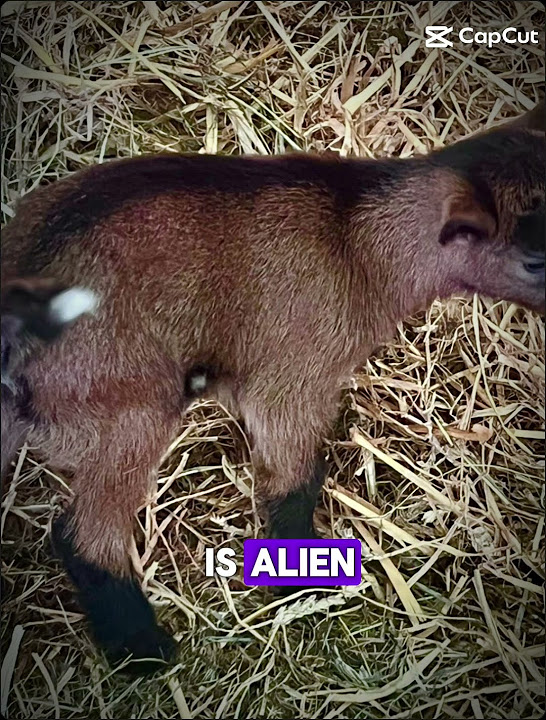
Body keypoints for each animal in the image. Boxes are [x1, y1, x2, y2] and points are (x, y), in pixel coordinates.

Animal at [1, 103, 544, 674]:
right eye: (533, 259)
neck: (358, 243)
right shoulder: (293, 377)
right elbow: (295, 479)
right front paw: (304, 579)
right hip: (129, 405)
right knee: (83, 532)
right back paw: (141, 648)